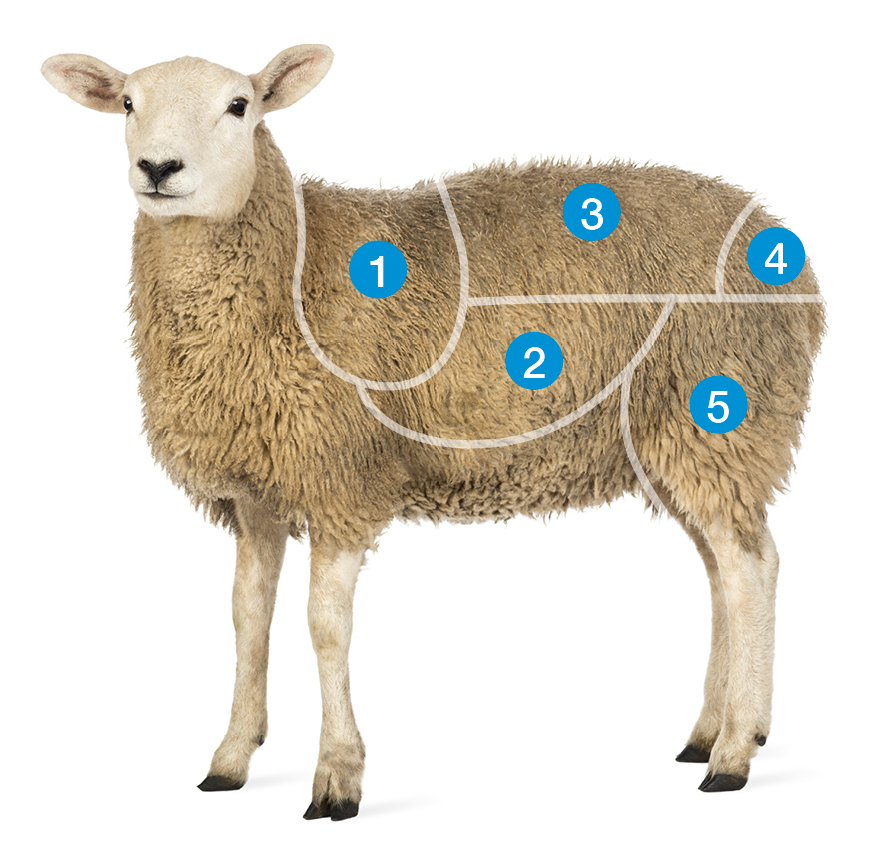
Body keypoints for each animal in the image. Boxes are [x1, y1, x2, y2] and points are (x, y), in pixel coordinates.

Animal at [41, 44, 825, 820]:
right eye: (129, 103)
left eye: (240, 106)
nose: (158, 168)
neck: (292, 267)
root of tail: (788, 255)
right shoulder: (257, 489)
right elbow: (246, 618)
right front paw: (231, 757)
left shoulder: (343, 475)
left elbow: (325, 625)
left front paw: (338, 777)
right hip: (675, 443)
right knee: (721, 570)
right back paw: (712, 731)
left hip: (721, 416)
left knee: (752, 569)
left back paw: (733, 755)